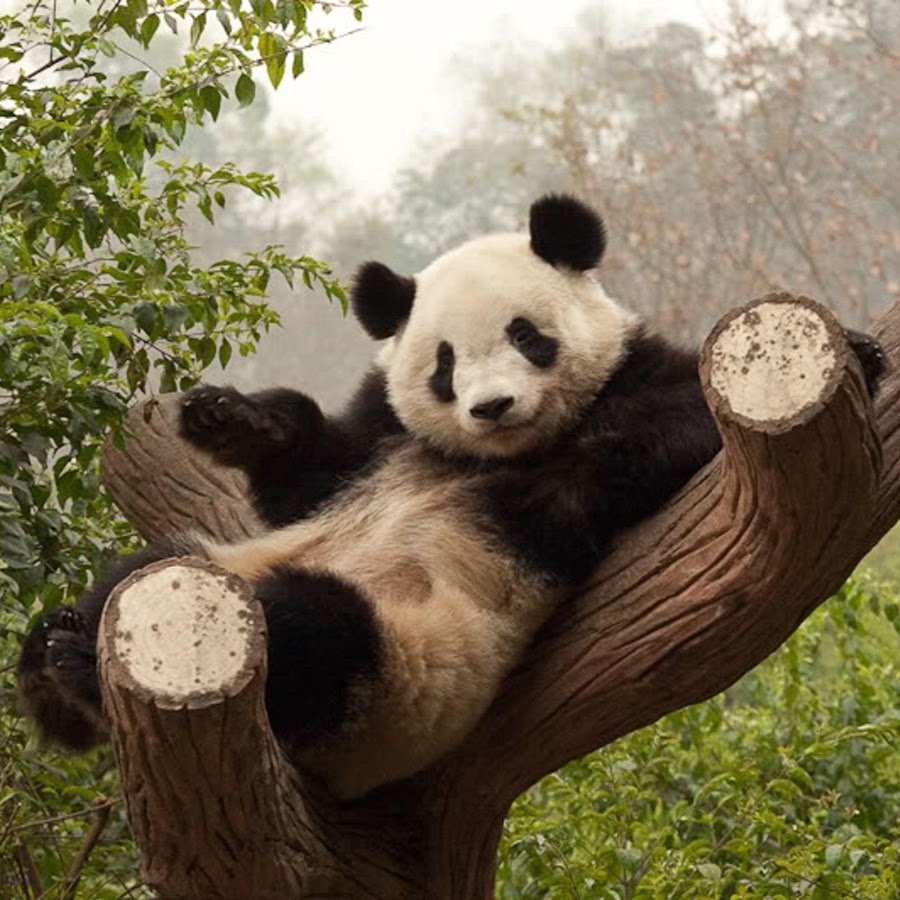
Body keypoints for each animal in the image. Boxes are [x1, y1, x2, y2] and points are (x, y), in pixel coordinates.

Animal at [17, 195, 886, 799]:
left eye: (526, 336)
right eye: (443, 363)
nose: (492, 407)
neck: (487, 454)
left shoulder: (639, 384)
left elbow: (669, 430)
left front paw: (862, 350)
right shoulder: (381, 434)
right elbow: (307, 477)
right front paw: (225, 417)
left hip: (392, 688)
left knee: (316, 628)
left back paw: (78, 671)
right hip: (225, 576)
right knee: (146, 568)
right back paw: (56, 662)